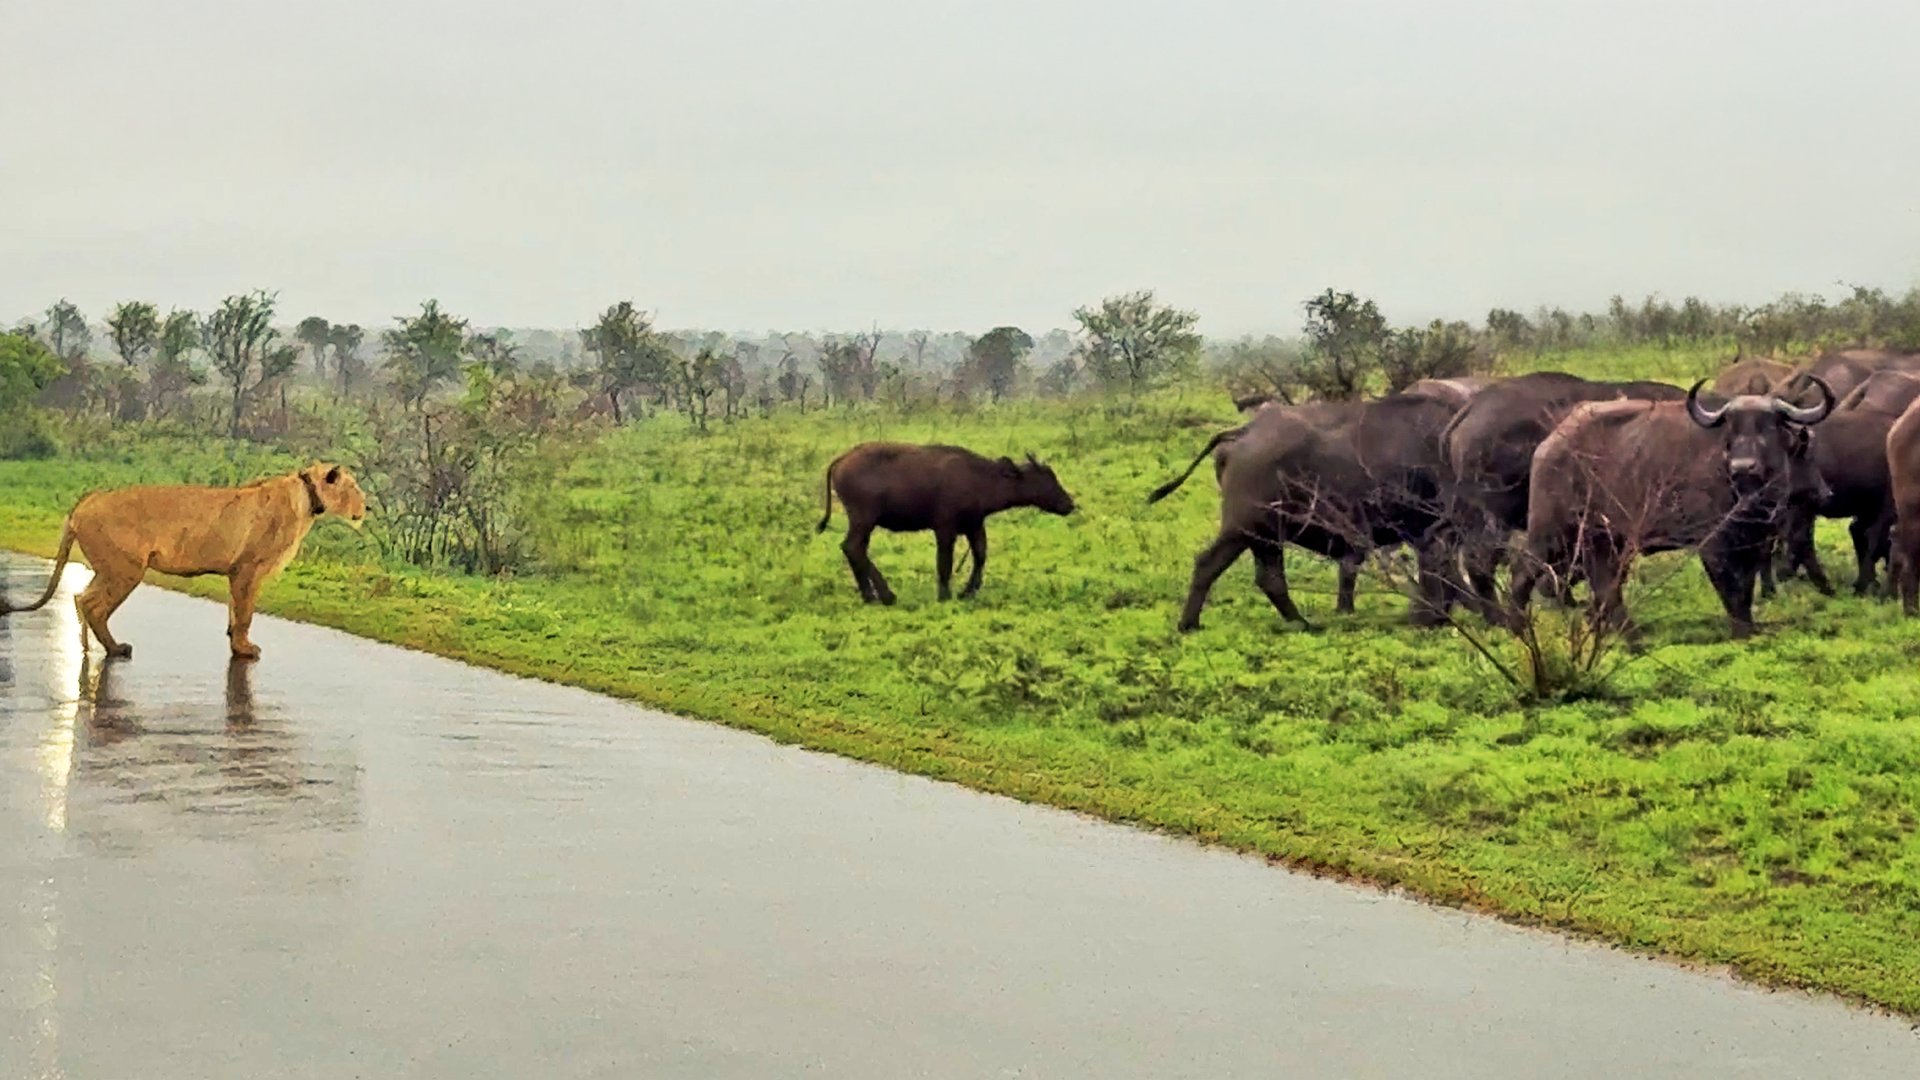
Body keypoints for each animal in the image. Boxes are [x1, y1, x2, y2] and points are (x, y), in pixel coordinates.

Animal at [0, 462, 367, 660]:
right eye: (354, 488)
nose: (369, 507)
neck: (307, 499)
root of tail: (86, 501)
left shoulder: (237, 572)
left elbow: (235, 609)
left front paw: (233, 640)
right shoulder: (247, 568)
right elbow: (246, 612)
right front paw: (244, 649)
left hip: (109, 568)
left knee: (80, 597)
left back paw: (89, 646)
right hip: (125, 569)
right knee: (92, 604)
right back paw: (116, 649)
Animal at [816, 442, 1076, 604]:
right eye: (1044, 479)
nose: (1069, 504)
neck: (978, 478)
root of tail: (842, 459)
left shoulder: (974, 525)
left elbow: (980, 555)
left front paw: (967, 592)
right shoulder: (945, 529)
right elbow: (945, 562)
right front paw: (944, 594)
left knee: (855, 549)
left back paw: (871, 595)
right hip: (863, 519)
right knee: (852, 547)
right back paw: (885, 595)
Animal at [1147, 392, 1464, 632]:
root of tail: (1245, 433)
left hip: (1264, 537)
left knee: (1266, 578)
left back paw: (1298, 623)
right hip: (1247, 528)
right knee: (1212, 565)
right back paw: (1191, 625)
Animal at [1515, 378, 1834, 640]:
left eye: (1768, 427)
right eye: (1732, 430)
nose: (1743, 467)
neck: (1747, 497)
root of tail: (1549, 444)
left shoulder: (1753, 544)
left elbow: (1746, 589)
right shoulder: (1713, 545)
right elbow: (1730, 589)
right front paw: (1741, 633)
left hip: (1604, 542)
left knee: (1605, 586)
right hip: (1551, 535)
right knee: (1523, 573)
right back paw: (1517, 628)